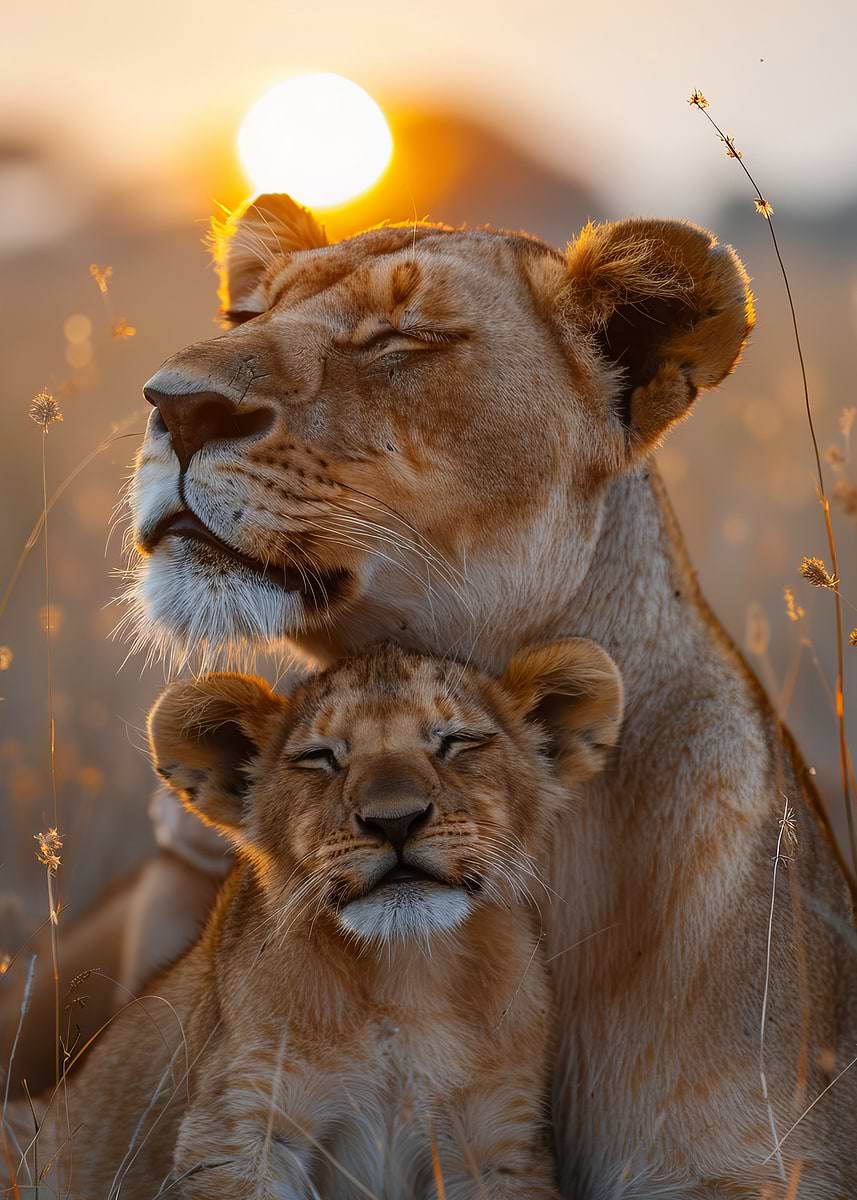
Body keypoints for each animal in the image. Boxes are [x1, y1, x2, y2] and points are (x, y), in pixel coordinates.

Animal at [3, 638, 623, 1198]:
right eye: (321, 757)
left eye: (455, 742)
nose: (394, 821)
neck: (403, 980)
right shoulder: (240, 1132)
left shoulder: (496, 1147)